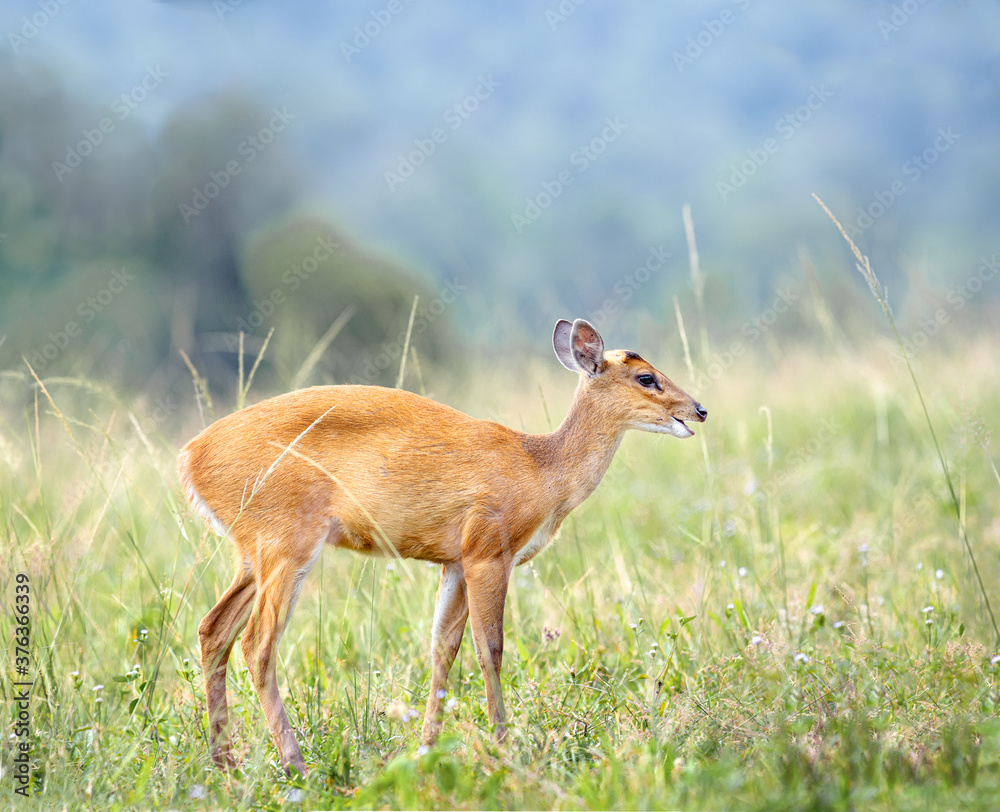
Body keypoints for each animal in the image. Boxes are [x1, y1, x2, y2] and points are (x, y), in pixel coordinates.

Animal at [177, 318, 707, 775]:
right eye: (646, 377)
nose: (699, 410)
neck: (541, 469)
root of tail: (189, 457)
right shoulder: (488, 553)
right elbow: (490, 649)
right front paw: (502, 747)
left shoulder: (453, 562)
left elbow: (442, 649)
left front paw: (426, 749)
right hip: (287, 545)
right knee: (257, 643)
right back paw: (296, 766)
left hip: (253, 554)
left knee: (212, 629)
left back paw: (225, 762)